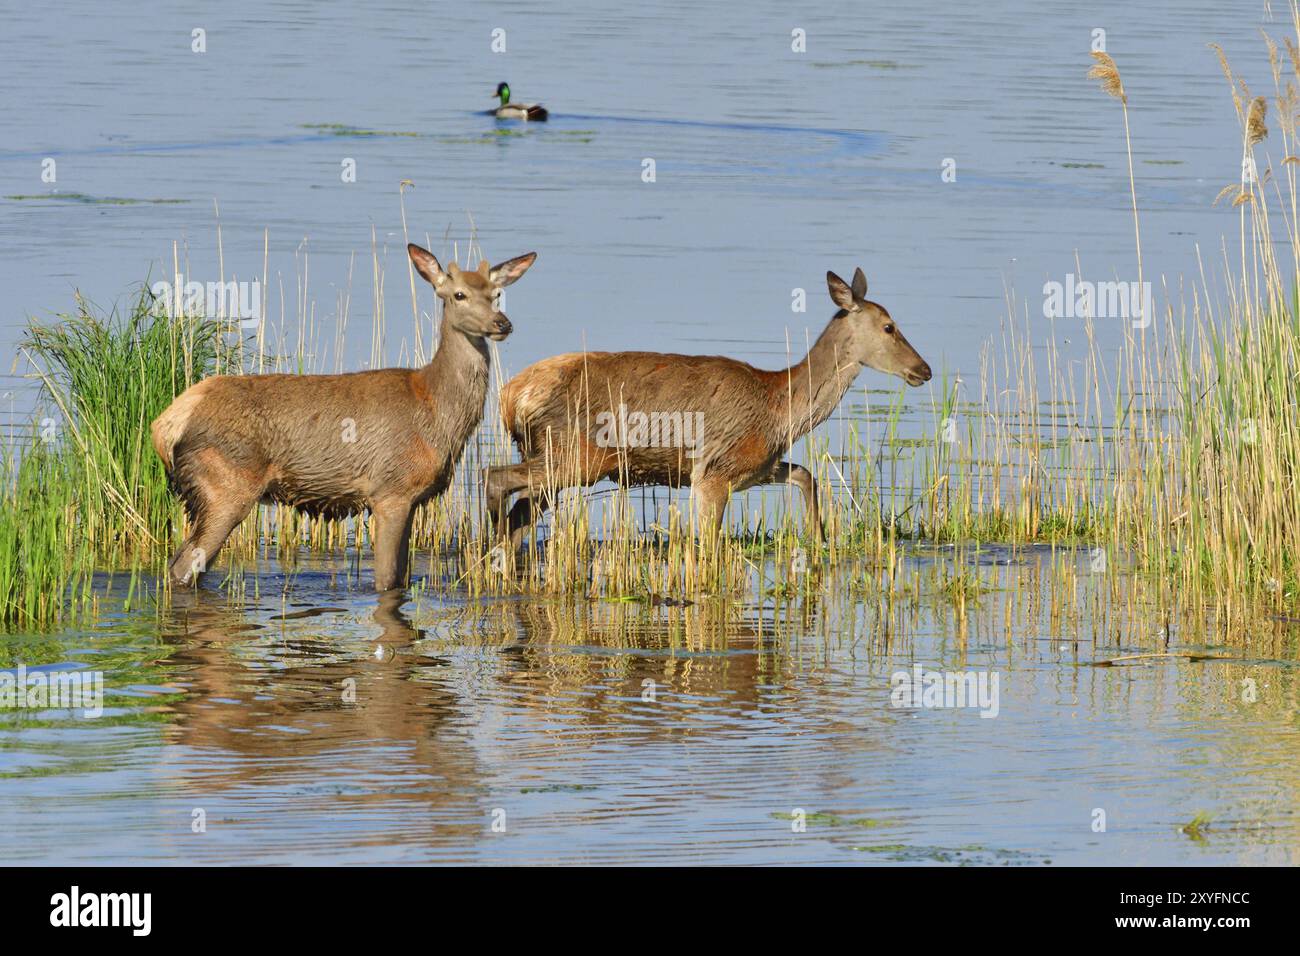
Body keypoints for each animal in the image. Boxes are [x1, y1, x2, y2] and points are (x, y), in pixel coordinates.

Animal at [151, 242, 537, 591]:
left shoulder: (413, 499)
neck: (437, 412)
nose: (502, 323)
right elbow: (386, 581)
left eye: (496, 294)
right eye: (459, 294)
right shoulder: (389, 490)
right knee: (181, 567)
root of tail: (165, 425)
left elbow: (402, 577)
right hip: (225, 484)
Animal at [485, 267, 930, 548]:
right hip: (573, 453)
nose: (923, 369)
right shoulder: (714, 472)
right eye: (889, 327)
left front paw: (818, 538)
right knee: (495, 478)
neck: (780, 412)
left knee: (520, 513)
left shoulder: (756, 466)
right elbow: (711, 547)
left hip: (551, 458)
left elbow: (806, 474)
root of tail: (511, 397)